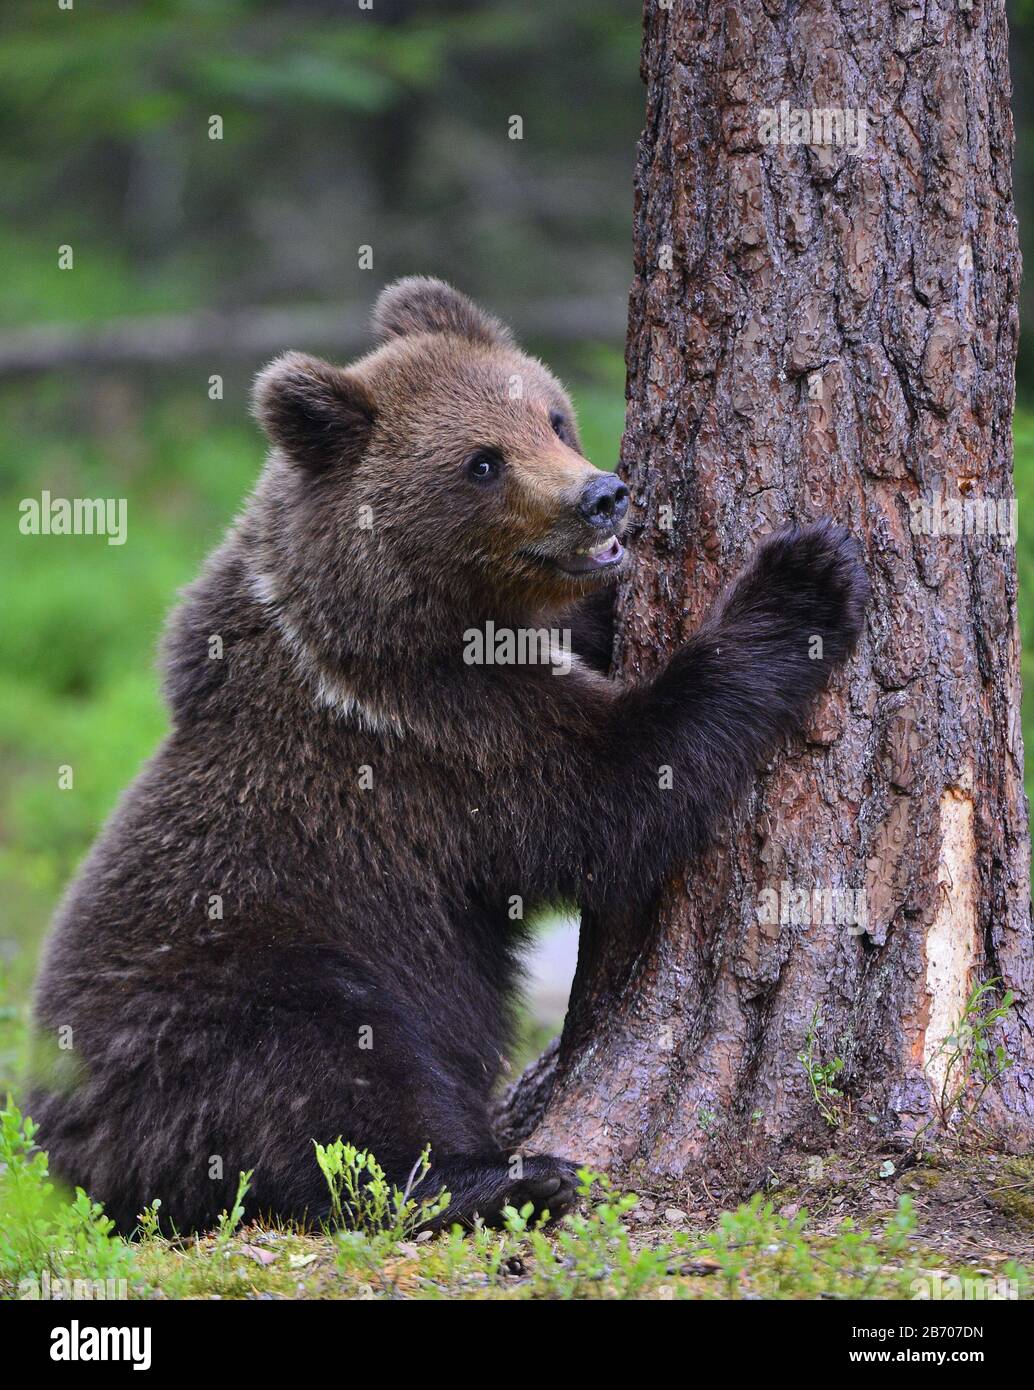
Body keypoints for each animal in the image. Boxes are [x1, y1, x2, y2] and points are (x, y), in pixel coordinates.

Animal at [27, 277, 869, 1234]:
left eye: (552, 416)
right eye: (482, 462)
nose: (603, 496)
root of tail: (63, 1144)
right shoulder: (432, 738)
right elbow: (619, 789)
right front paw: (804, 577)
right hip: (243, 981)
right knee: (328, 1084)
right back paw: (510, 1178)